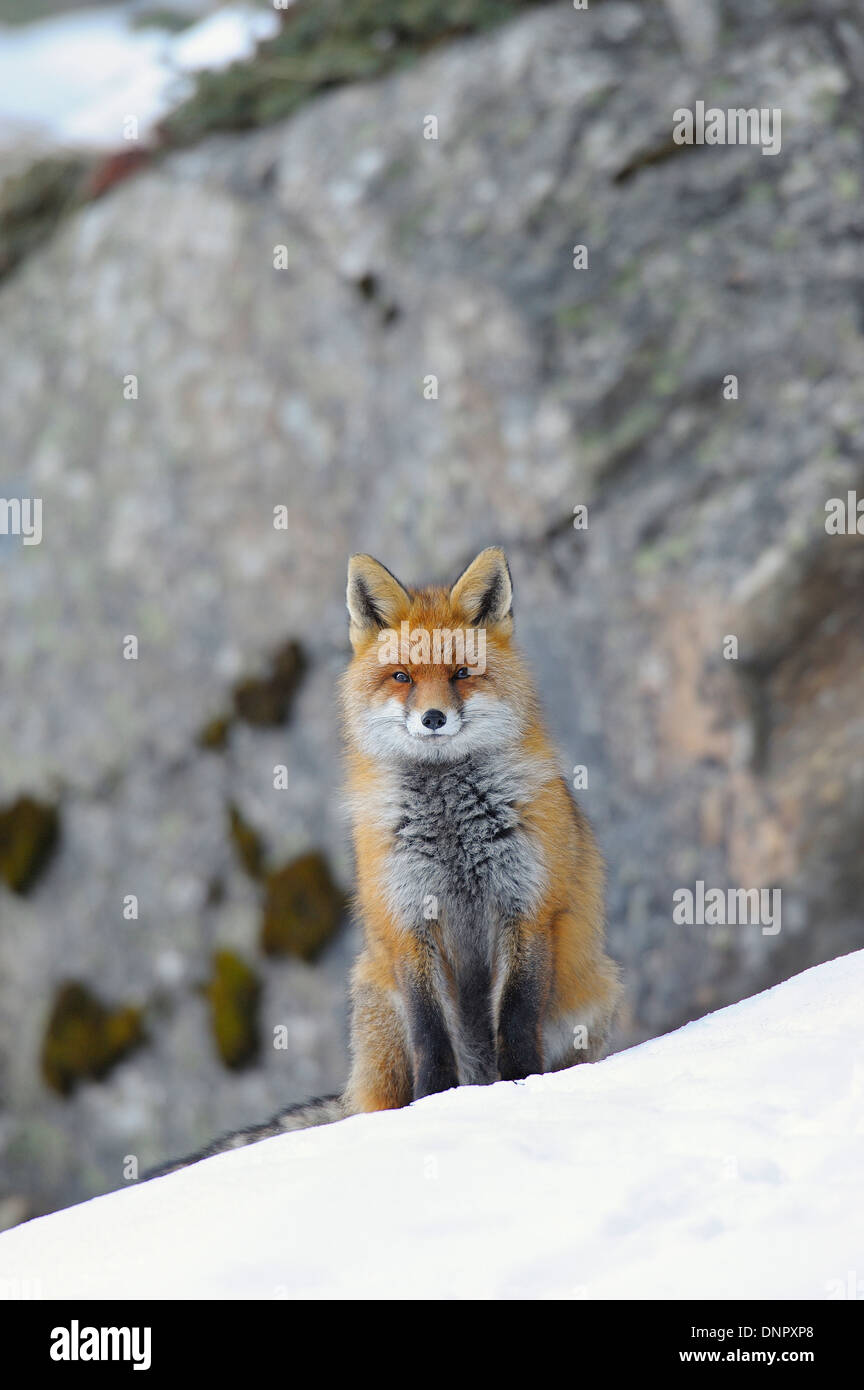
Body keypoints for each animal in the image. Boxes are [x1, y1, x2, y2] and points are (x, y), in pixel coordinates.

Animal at [147, 548, 621, 1176]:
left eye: (461, 674)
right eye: (402, 677)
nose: (434, 719)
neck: (449, 825)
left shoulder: (528, 907)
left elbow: (517, 1019)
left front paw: (522, 1089)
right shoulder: (407, 921)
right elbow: (430, 1037)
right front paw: (436, 1107)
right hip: (380, 1013)